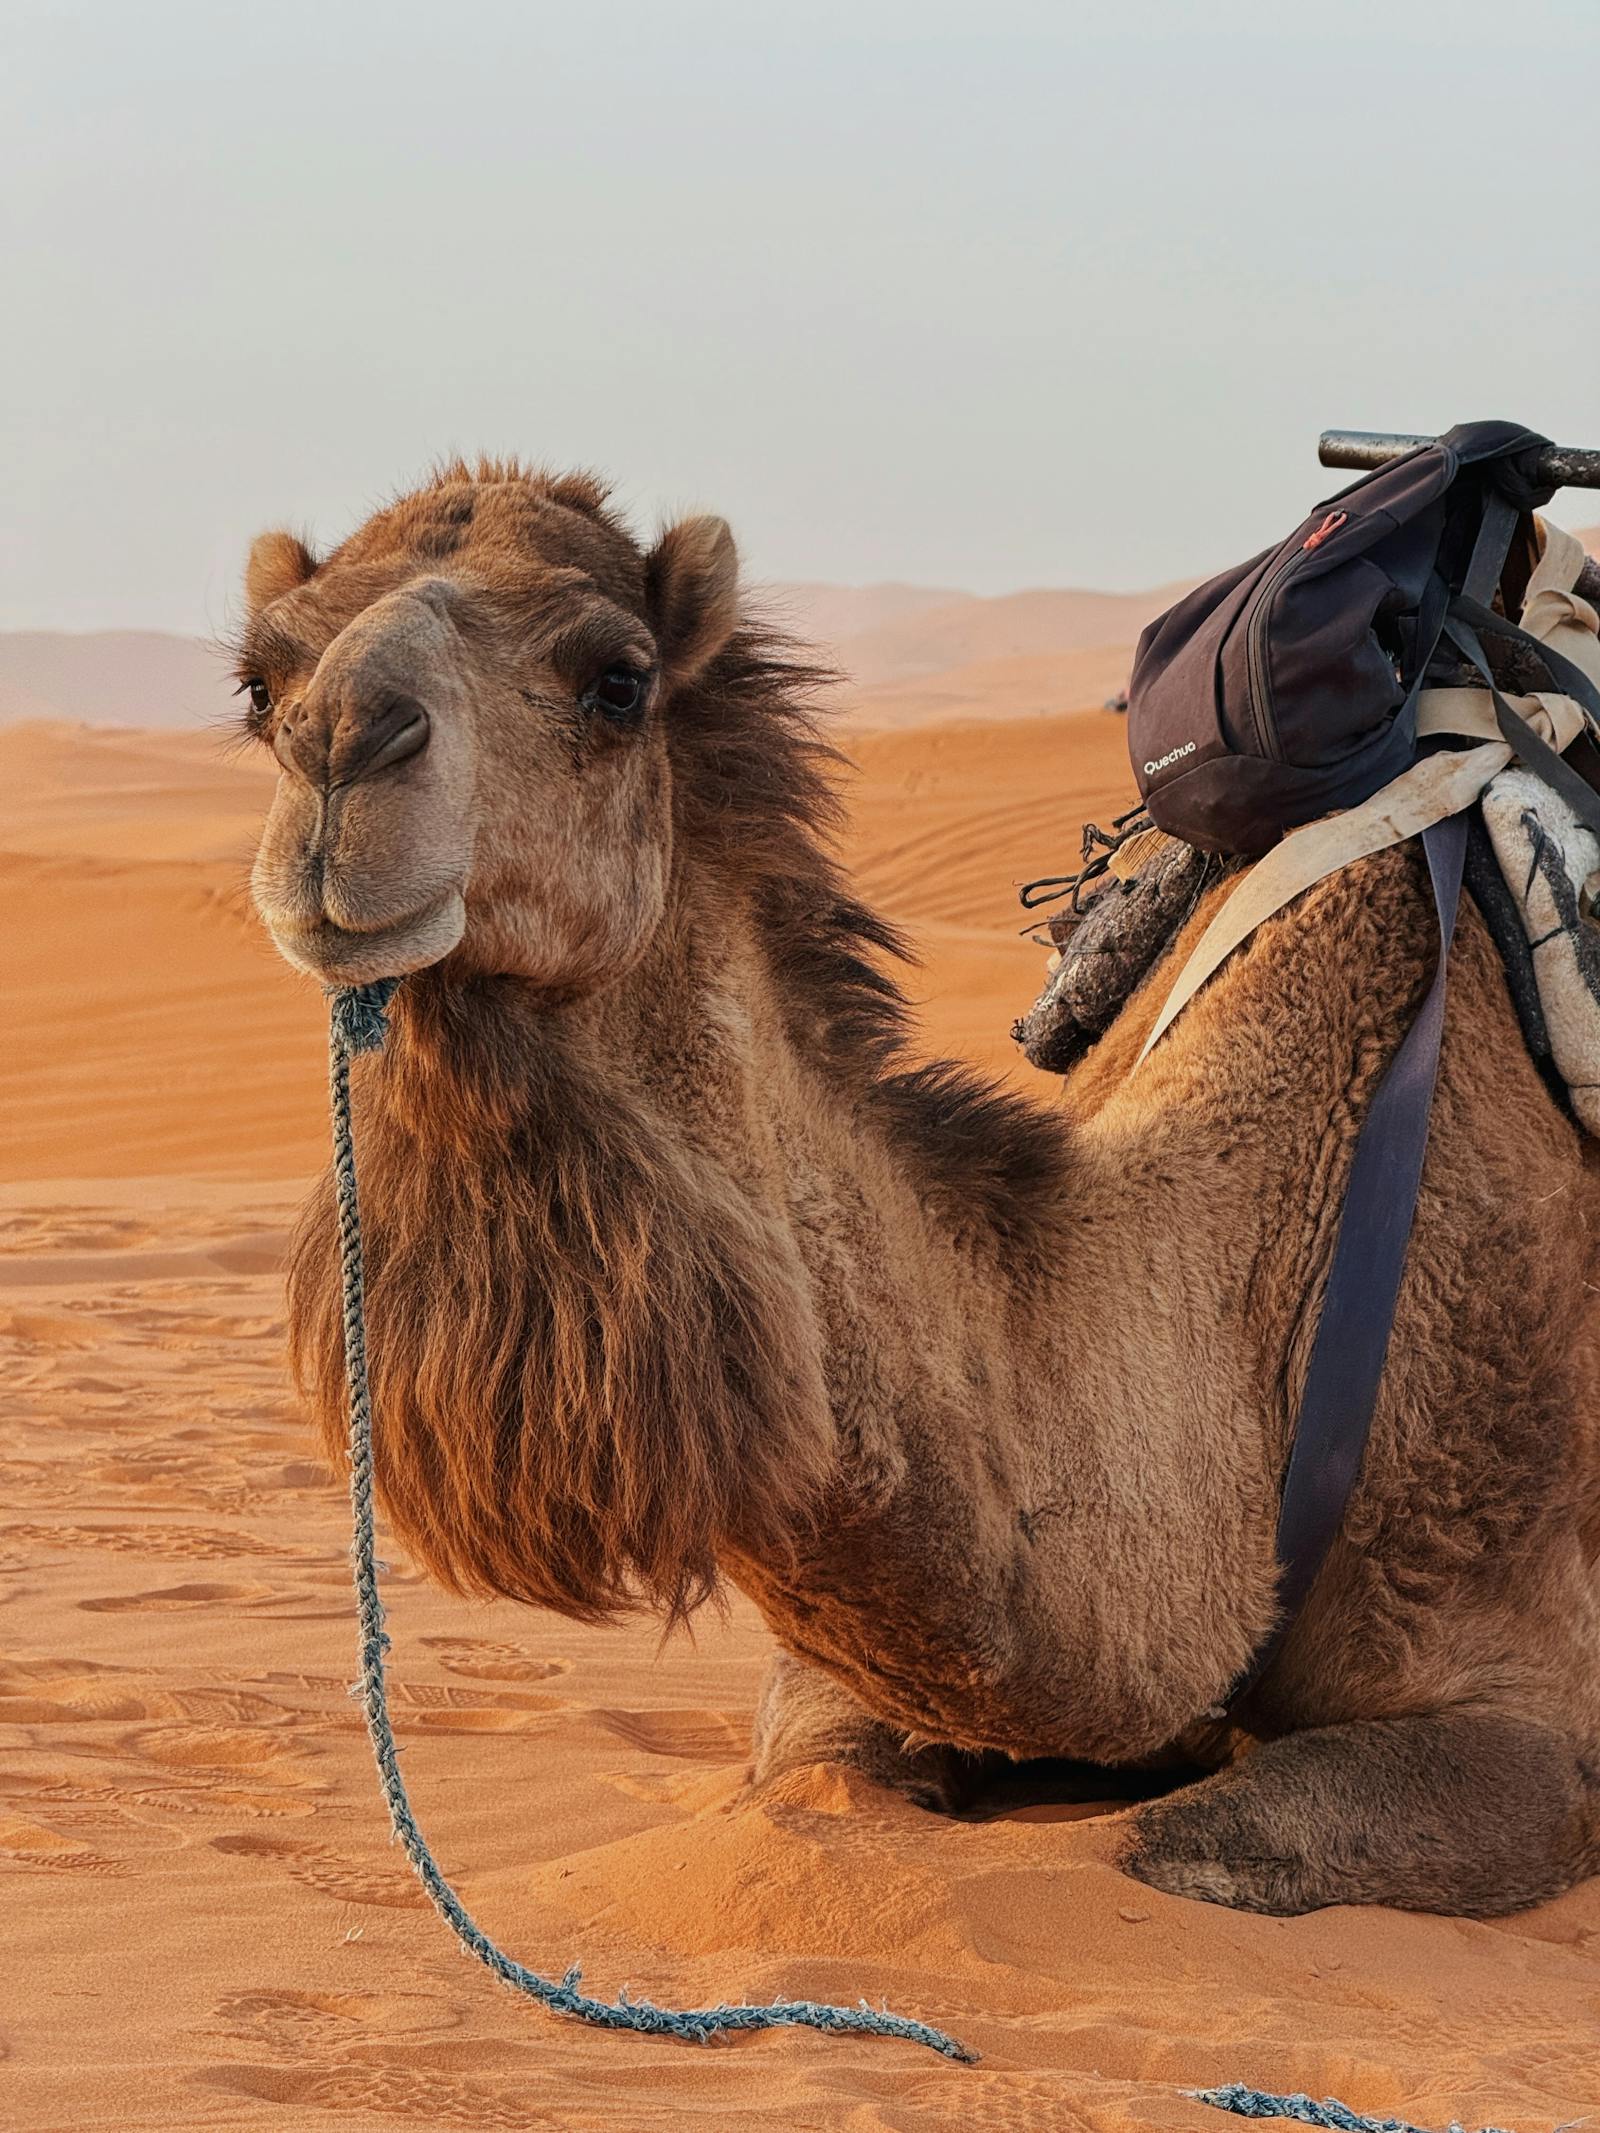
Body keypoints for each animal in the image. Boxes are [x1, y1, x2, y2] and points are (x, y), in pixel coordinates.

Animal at [242, 460, 1600, 1919]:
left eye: (616, 679)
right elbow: (821, 1790)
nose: (340, 750)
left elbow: (1153, 1846)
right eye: (260, 686)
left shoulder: (1533, 1719)